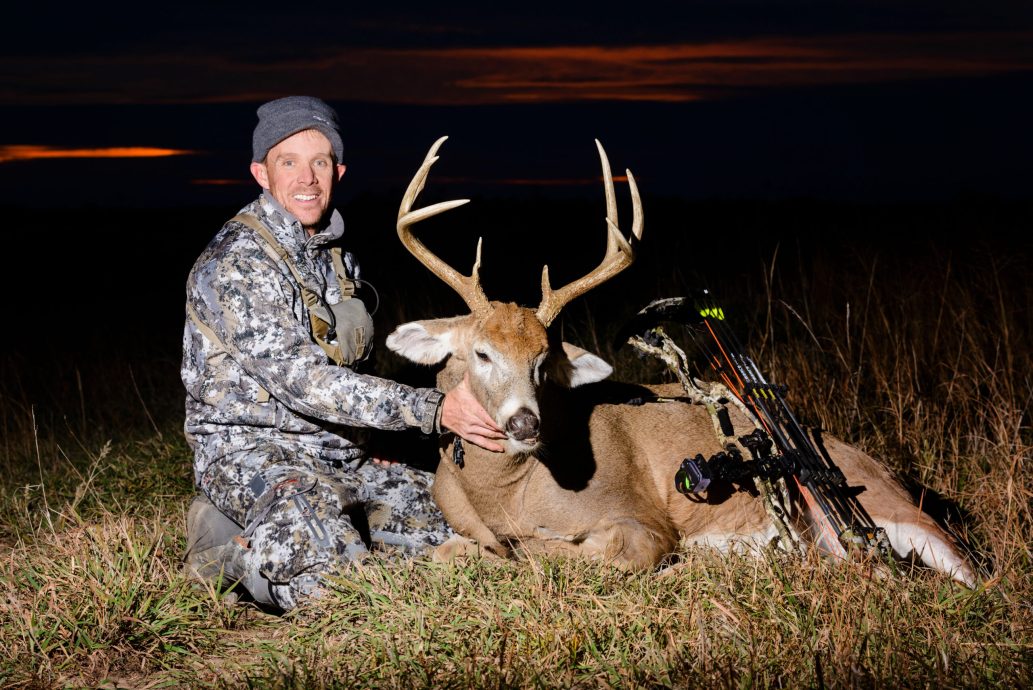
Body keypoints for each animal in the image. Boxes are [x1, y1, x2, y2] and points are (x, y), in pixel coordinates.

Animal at [384, 136, 980, 588]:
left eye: (543, 361)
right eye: (482, 353)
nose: (525, 424)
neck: (503, 494)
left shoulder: (640, 518)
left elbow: (583, 552)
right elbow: (450, 549)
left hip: (900, 513)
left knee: (969, 576)